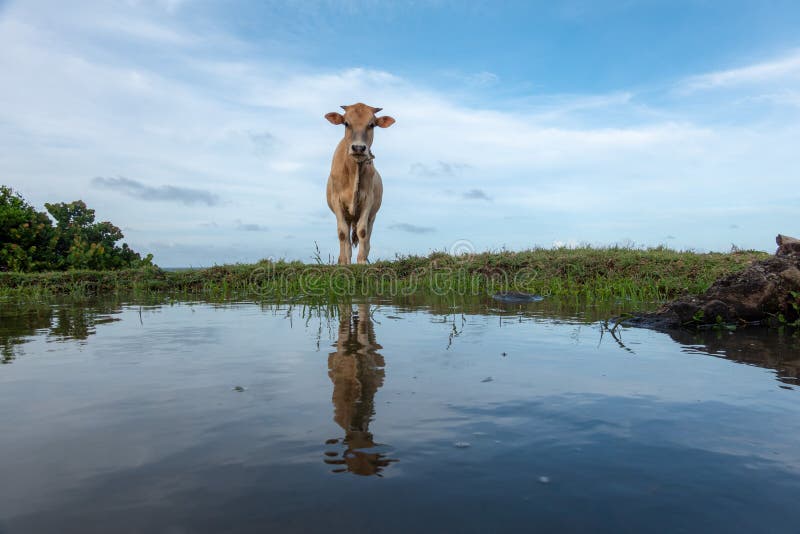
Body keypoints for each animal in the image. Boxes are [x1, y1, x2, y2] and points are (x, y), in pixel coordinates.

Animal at [325, 103, 395, 264]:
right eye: (346, 123)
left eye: (371, 124)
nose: (358, 148)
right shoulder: (337, 200)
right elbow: (342, 233)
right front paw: (343, 262)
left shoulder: (368, 200)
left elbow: (362, 232)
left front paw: (362, 261)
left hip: (372, 216)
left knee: (367, 237)